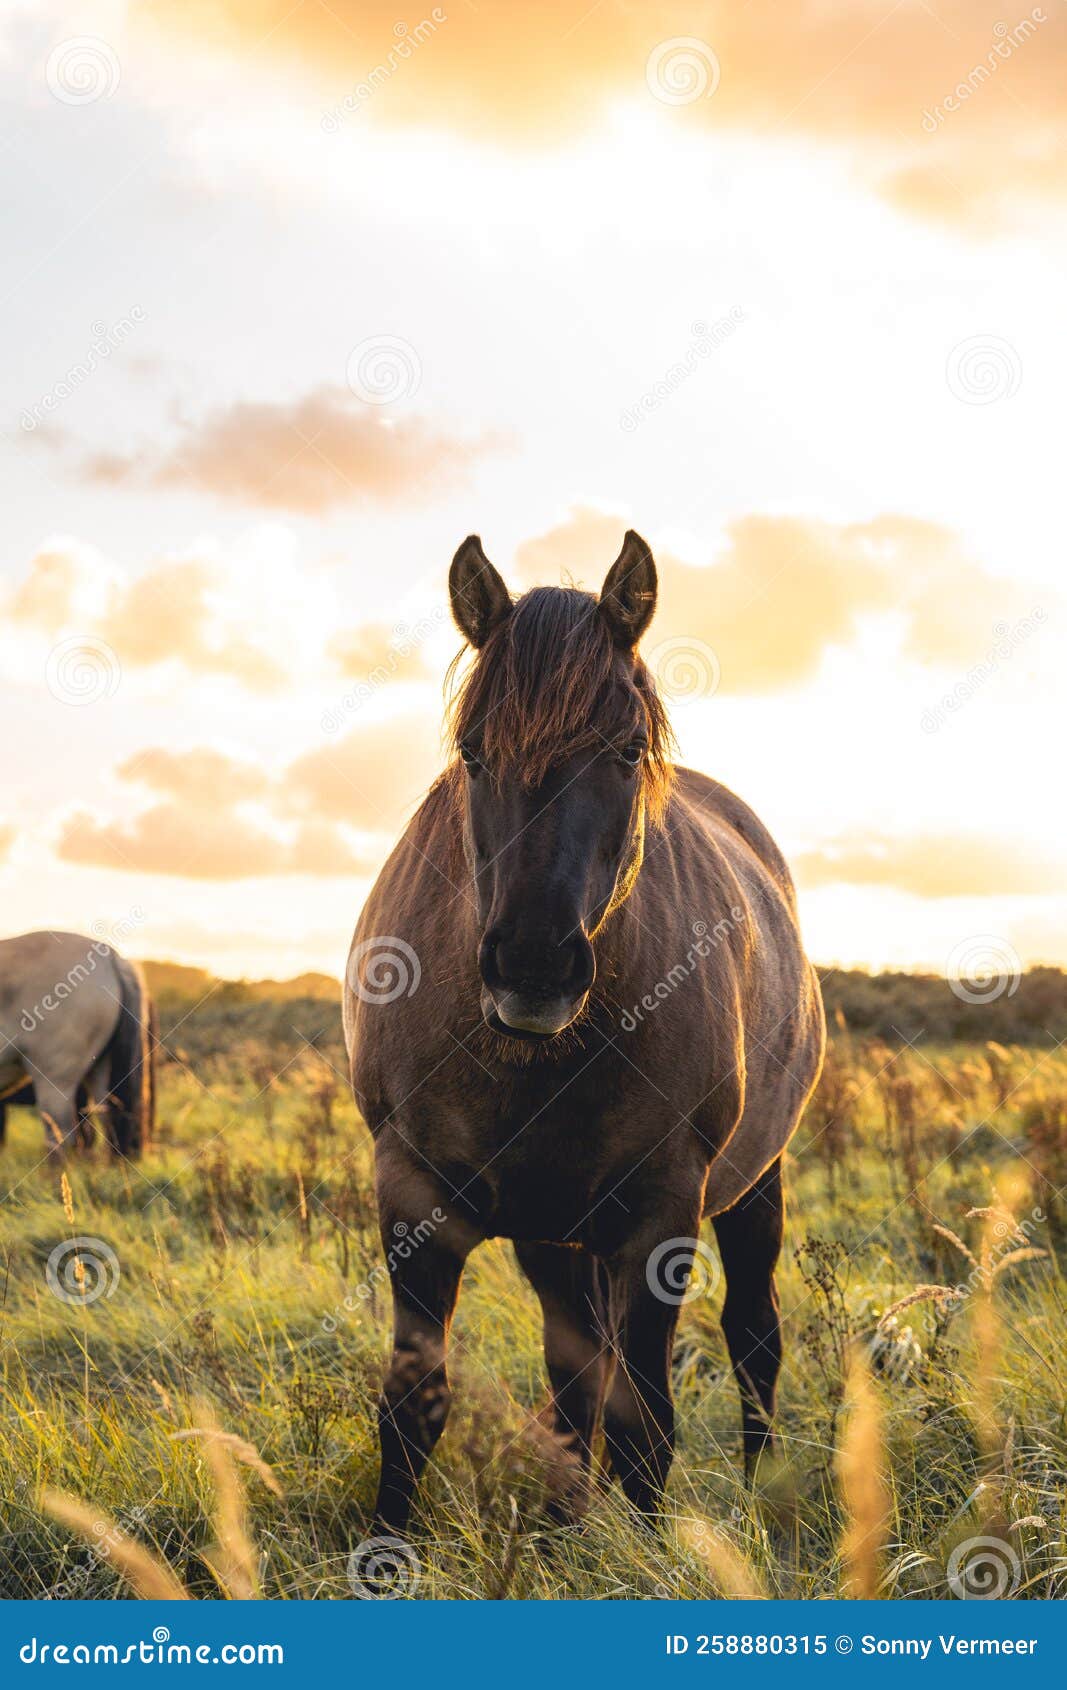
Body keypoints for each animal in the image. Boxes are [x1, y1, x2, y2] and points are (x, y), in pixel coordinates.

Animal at [344, 532, 825, 1533]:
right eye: (472, 751)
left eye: (627, 748)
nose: (532, 962)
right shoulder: (411, 1196)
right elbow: (415, 1408)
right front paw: (384, 1554)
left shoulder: (658, 1221)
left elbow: (647, 1425)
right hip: (555, 1237)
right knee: (576, 1379)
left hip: (752, 1185)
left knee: (752, 1339)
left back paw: (758, 1490)